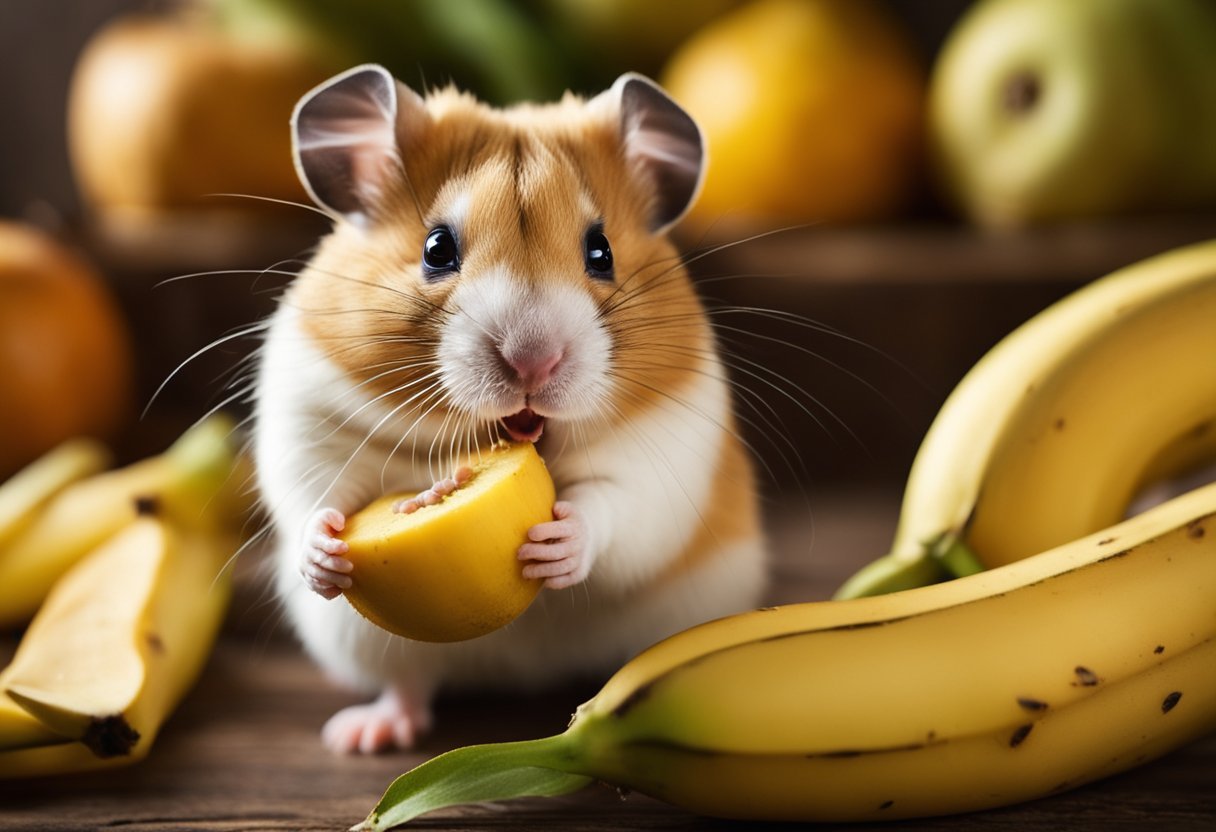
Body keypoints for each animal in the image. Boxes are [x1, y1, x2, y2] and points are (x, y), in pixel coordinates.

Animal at [252, 64, 768, 754]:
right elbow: (316, 494)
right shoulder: (307, 419)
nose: (532, 362)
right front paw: (324, 555)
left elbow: (613, 506)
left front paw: (555, 544)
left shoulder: (665, 452)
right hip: (367, 641)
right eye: (436, 249)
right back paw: (363, 735)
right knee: (409, 683)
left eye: (601, 251)